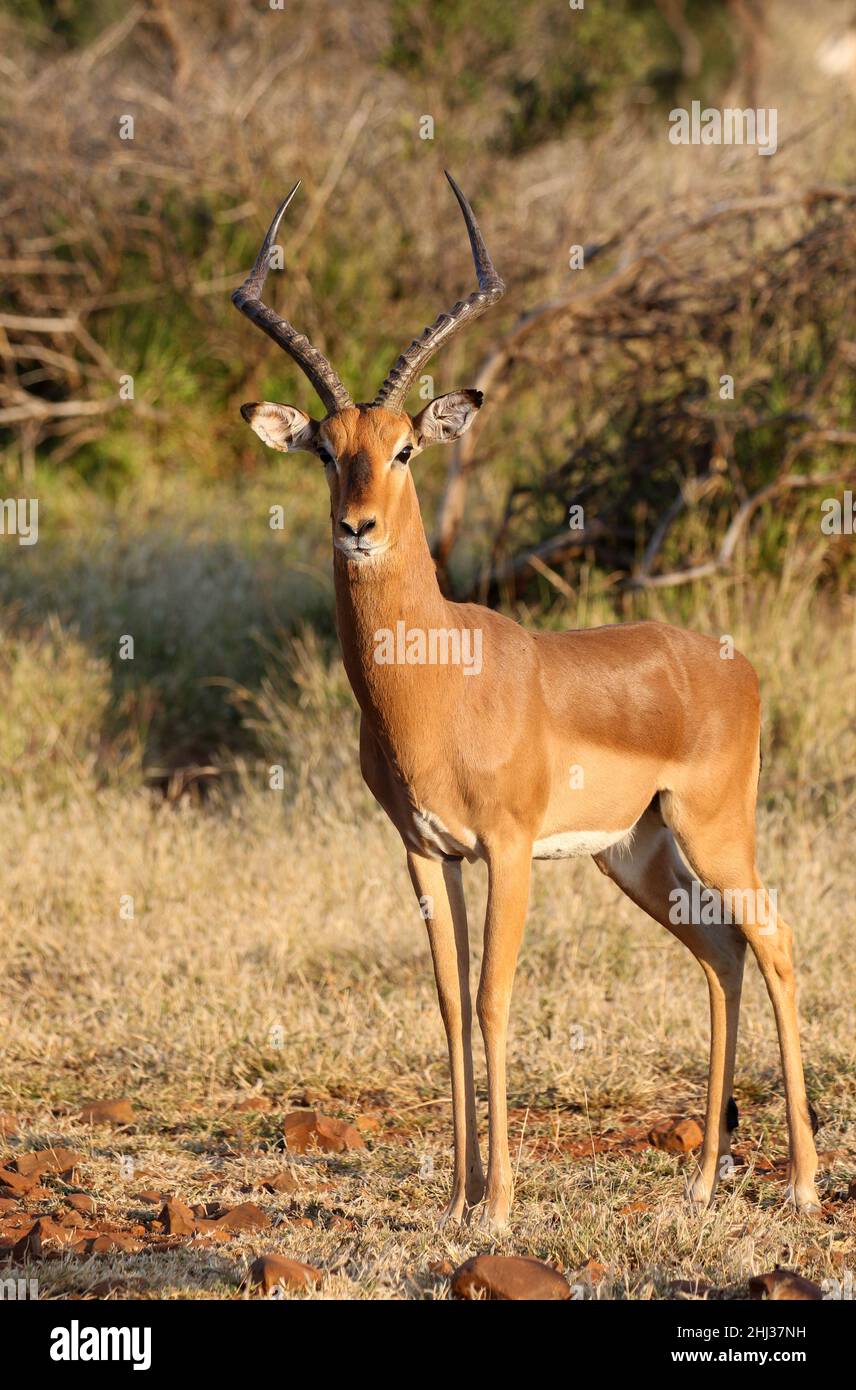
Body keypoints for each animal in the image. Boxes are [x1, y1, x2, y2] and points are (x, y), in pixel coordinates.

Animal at [233, 173, 820, 1228]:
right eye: (325, 450)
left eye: (407, 449)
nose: (358, 528)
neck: (436, 680)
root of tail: (733, 660)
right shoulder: (426, 851)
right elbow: (447, 1004)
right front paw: (459, 1201)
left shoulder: (507, 850)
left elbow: (495, 999)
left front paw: (501, 1205)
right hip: (637, 853)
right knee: (720, 953)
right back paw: (703, 1181)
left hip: (713, 831)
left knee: (777, 941)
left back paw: (800, 1183)